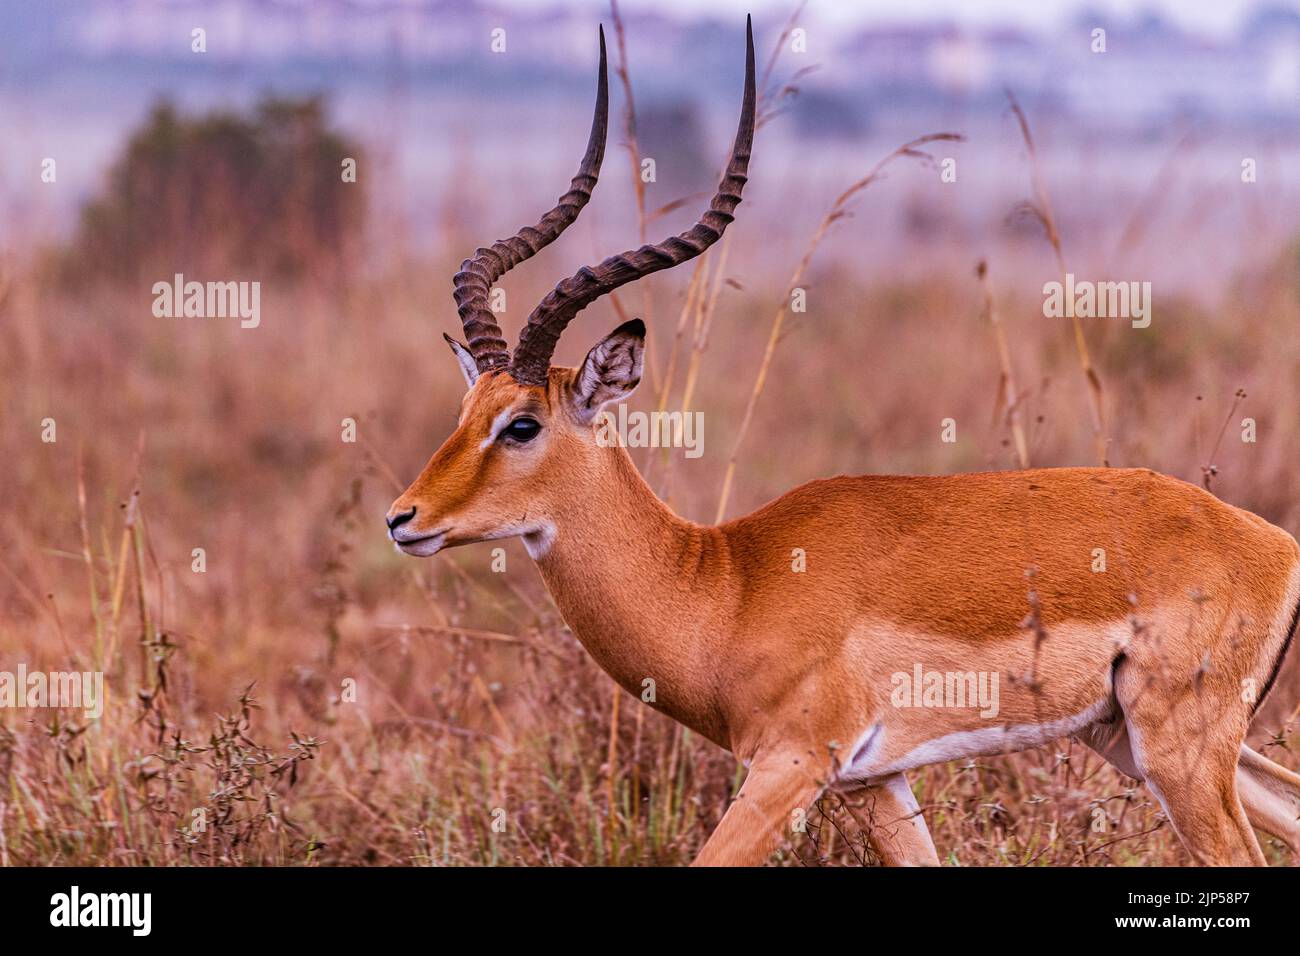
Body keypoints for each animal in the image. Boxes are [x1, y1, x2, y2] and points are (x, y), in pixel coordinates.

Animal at [387, 18, 1300, 866]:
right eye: (468, 407)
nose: (403, 518)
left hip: (1176, 750)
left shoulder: (791, 766)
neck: (724, 586)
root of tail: (1273, 545)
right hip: (1127, 736)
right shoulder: (874, 780)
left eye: (523, 424)